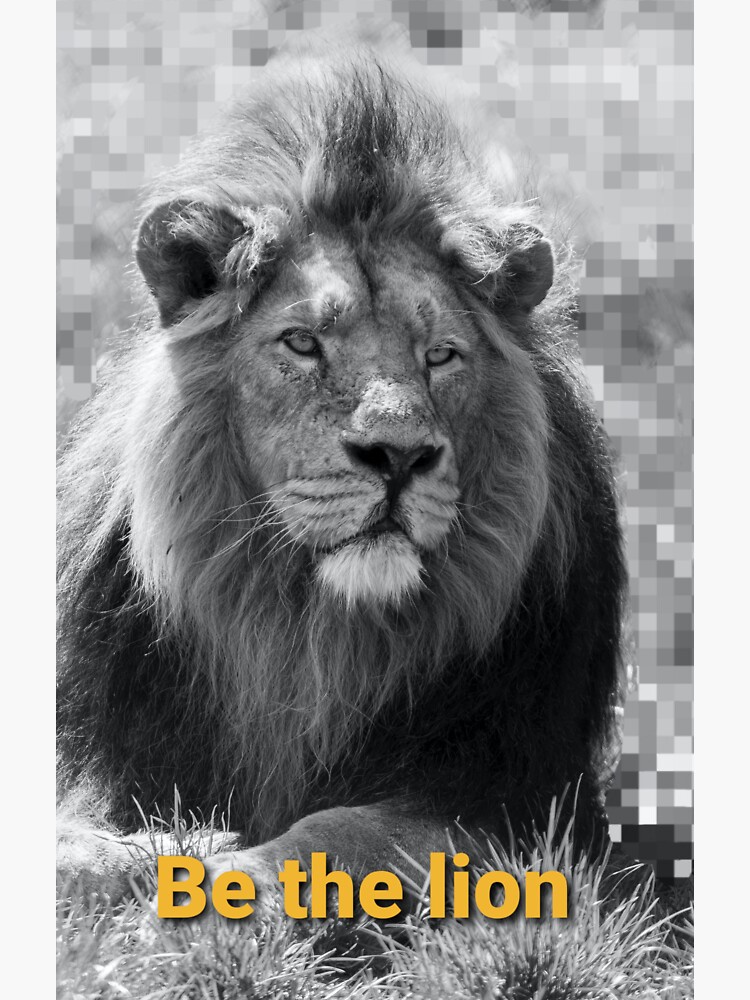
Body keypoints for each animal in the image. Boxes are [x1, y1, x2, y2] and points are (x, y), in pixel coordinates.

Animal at [57, 30, 627, 912]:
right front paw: (152, 850)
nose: (399, 455)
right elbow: (65, 840)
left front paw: (221, 879)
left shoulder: (511, 808)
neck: (313, 638)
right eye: (302, 344)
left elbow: (337, 834)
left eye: (441, 356)